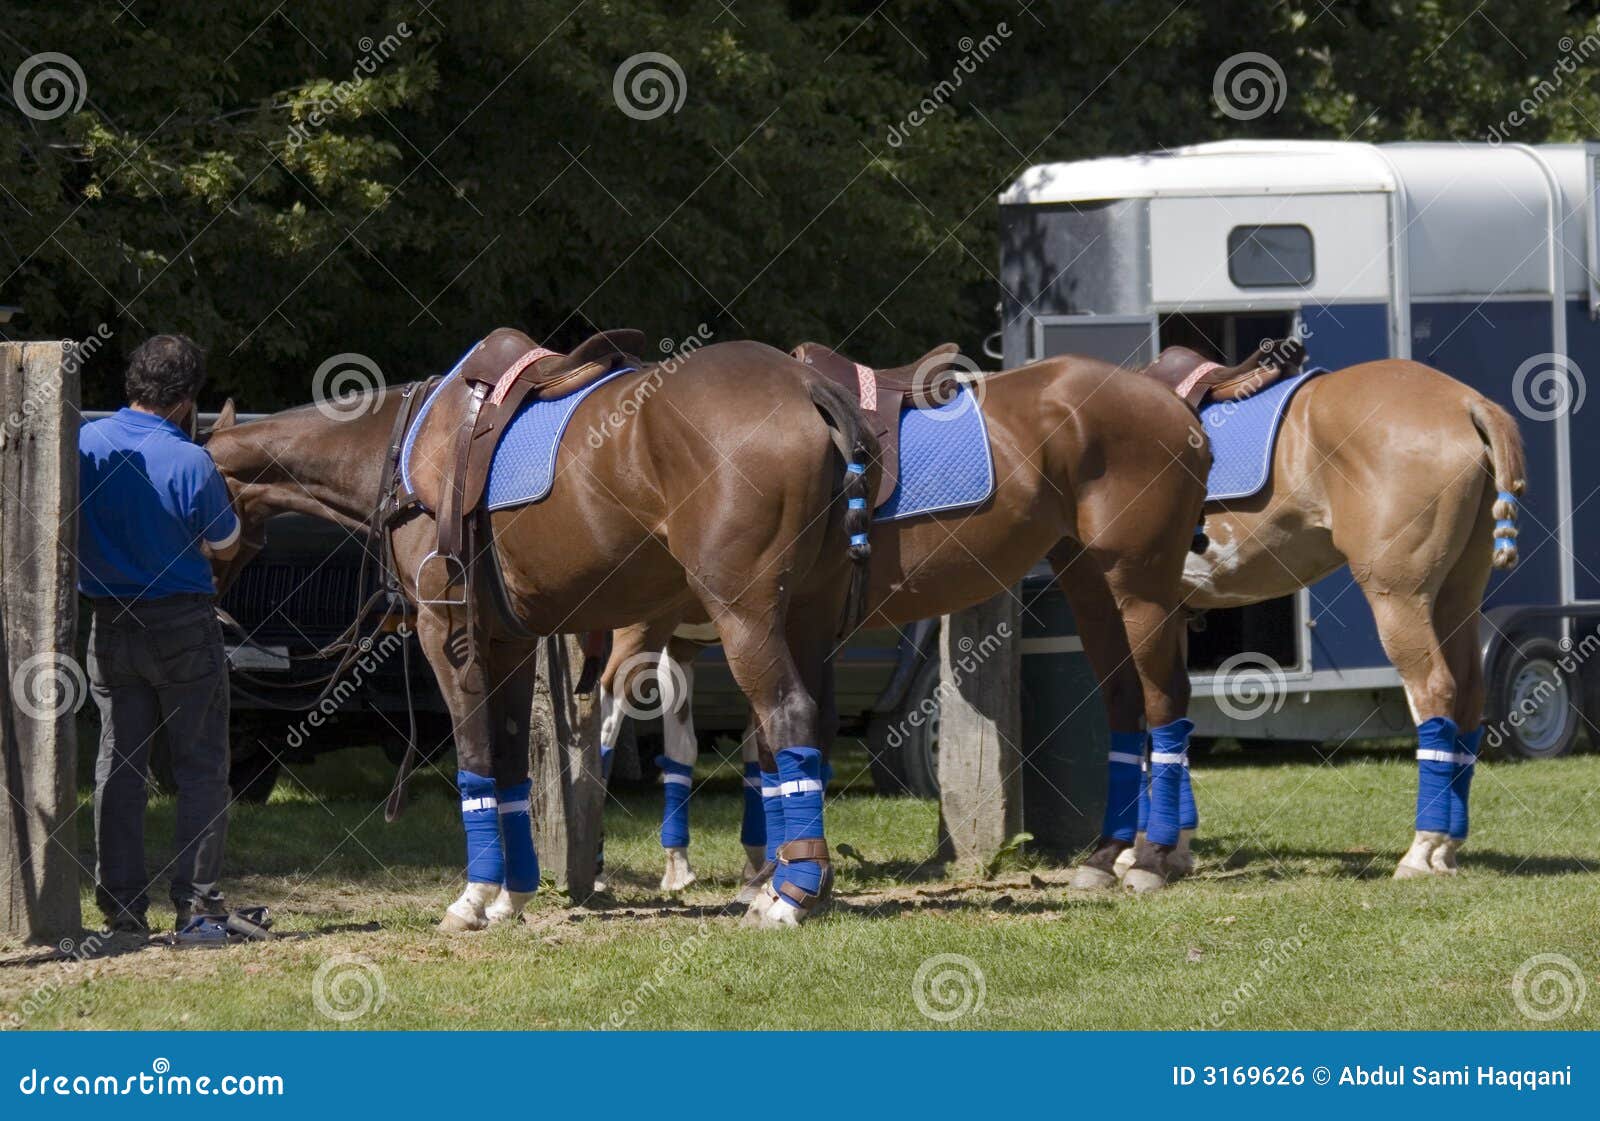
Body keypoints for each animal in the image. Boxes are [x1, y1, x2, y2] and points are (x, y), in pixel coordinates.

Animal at [204, 332, 877, 930]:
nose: (213, 614)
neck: (394, 455)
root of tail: (806, 384)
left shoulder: (446, 635)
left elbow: (475, 757)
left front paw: (472, 898)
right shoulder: (509, 642)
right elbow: (508, 766)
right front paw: (511, 896)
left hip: (743, 612)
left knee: (788, 713)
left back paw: (790, 897)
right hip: (808, 614)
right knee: (813, 721)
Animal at [596, 344, 1217, 904]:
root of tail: (1173, 406)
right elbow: (775, 743)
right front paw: (771, 874)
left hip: (1141, 590)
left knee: (1165, 700)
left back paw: (1153, 858)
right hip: (1091, 587)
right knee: (1125, 701)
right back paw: (1107, 855)